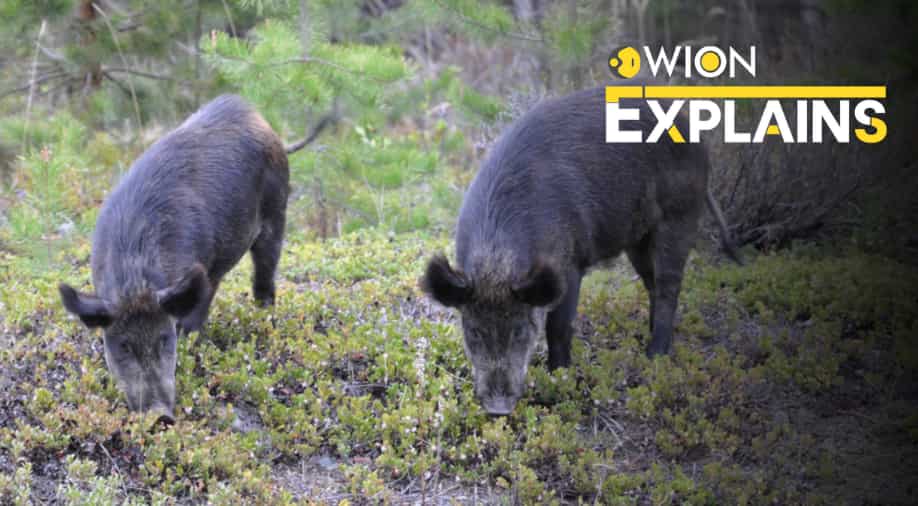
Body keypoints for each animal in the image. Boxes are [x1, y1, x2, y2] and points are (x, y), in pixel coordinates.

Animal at [59, 95, 332, 423]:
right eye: (122, 347)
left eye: (165, 339)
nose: (160, 415)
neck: (135, 279)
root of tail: (264, 123)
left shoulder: (204, 273)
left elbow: (193, 319)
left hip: (276, 213)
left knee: (264, 279)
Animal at [420, 86, 739, 416]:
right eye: (473, 331)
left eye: (520, 330)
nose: (498, 408)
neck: (497, 259)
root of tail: (693, 130)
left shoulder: (570, 267)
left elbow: (558, 327)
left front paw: (559, 379)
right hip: (637, 238)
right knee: (651, 282)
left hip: (679, 215)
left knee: (668, 285)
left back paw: (655, 356)